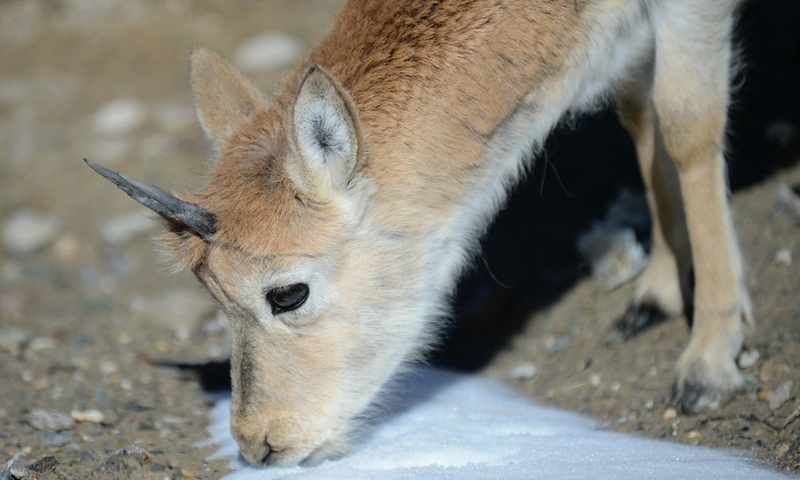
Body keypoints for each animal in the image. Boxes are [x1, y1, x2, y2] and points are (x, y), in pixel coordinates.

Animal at [87, 0, 752, 467]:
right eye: (213, 297)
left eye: (288, 293)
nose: (260, 444)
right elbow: (640, 112)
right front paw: (660, 291)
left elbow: (686, 123)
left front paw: (710, 361)